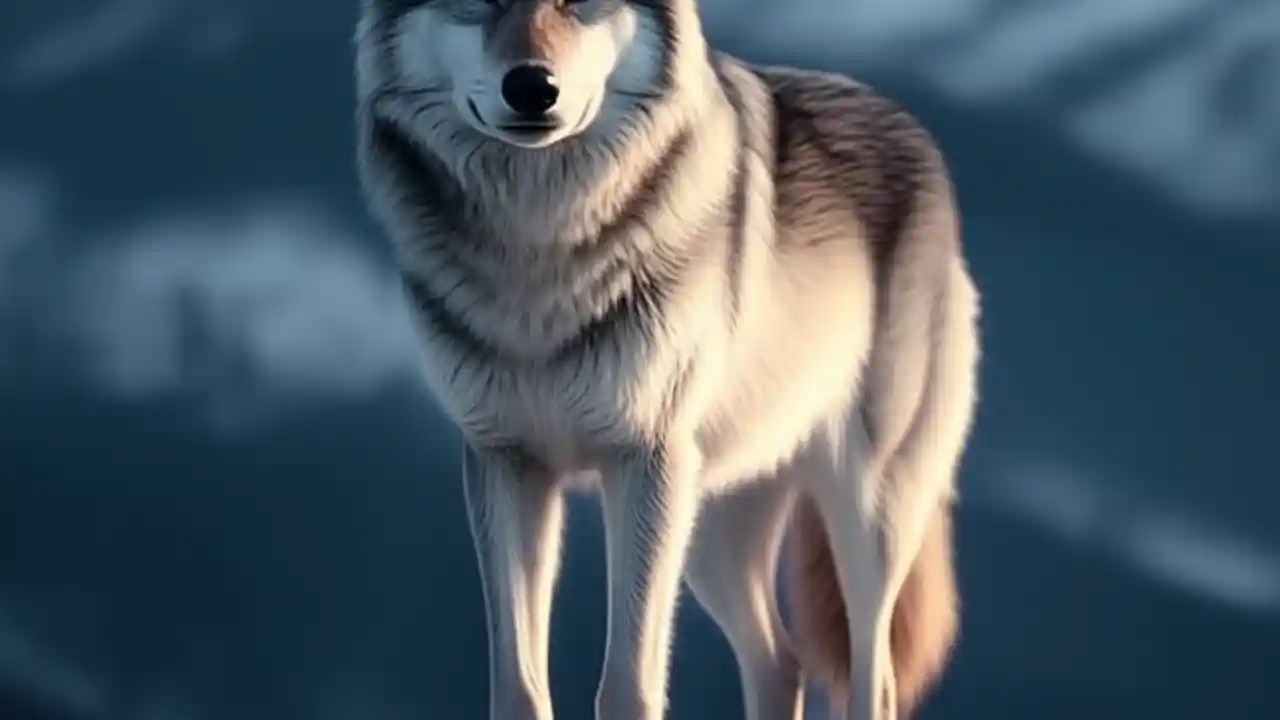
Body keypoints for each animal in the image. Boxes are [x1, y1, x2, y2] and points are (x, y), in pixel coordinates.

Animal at [354, 1, 980, 719]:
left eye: (578, 4)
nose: (533, 87)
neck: (540, 250)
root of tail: (911, 125)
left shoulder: (642, 459)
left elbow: (627, 687)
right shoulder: (506, 461)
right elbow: (518, 686)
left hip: (864, 511)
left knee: (872, 677)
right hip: (705, 525)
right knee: (781, 659)